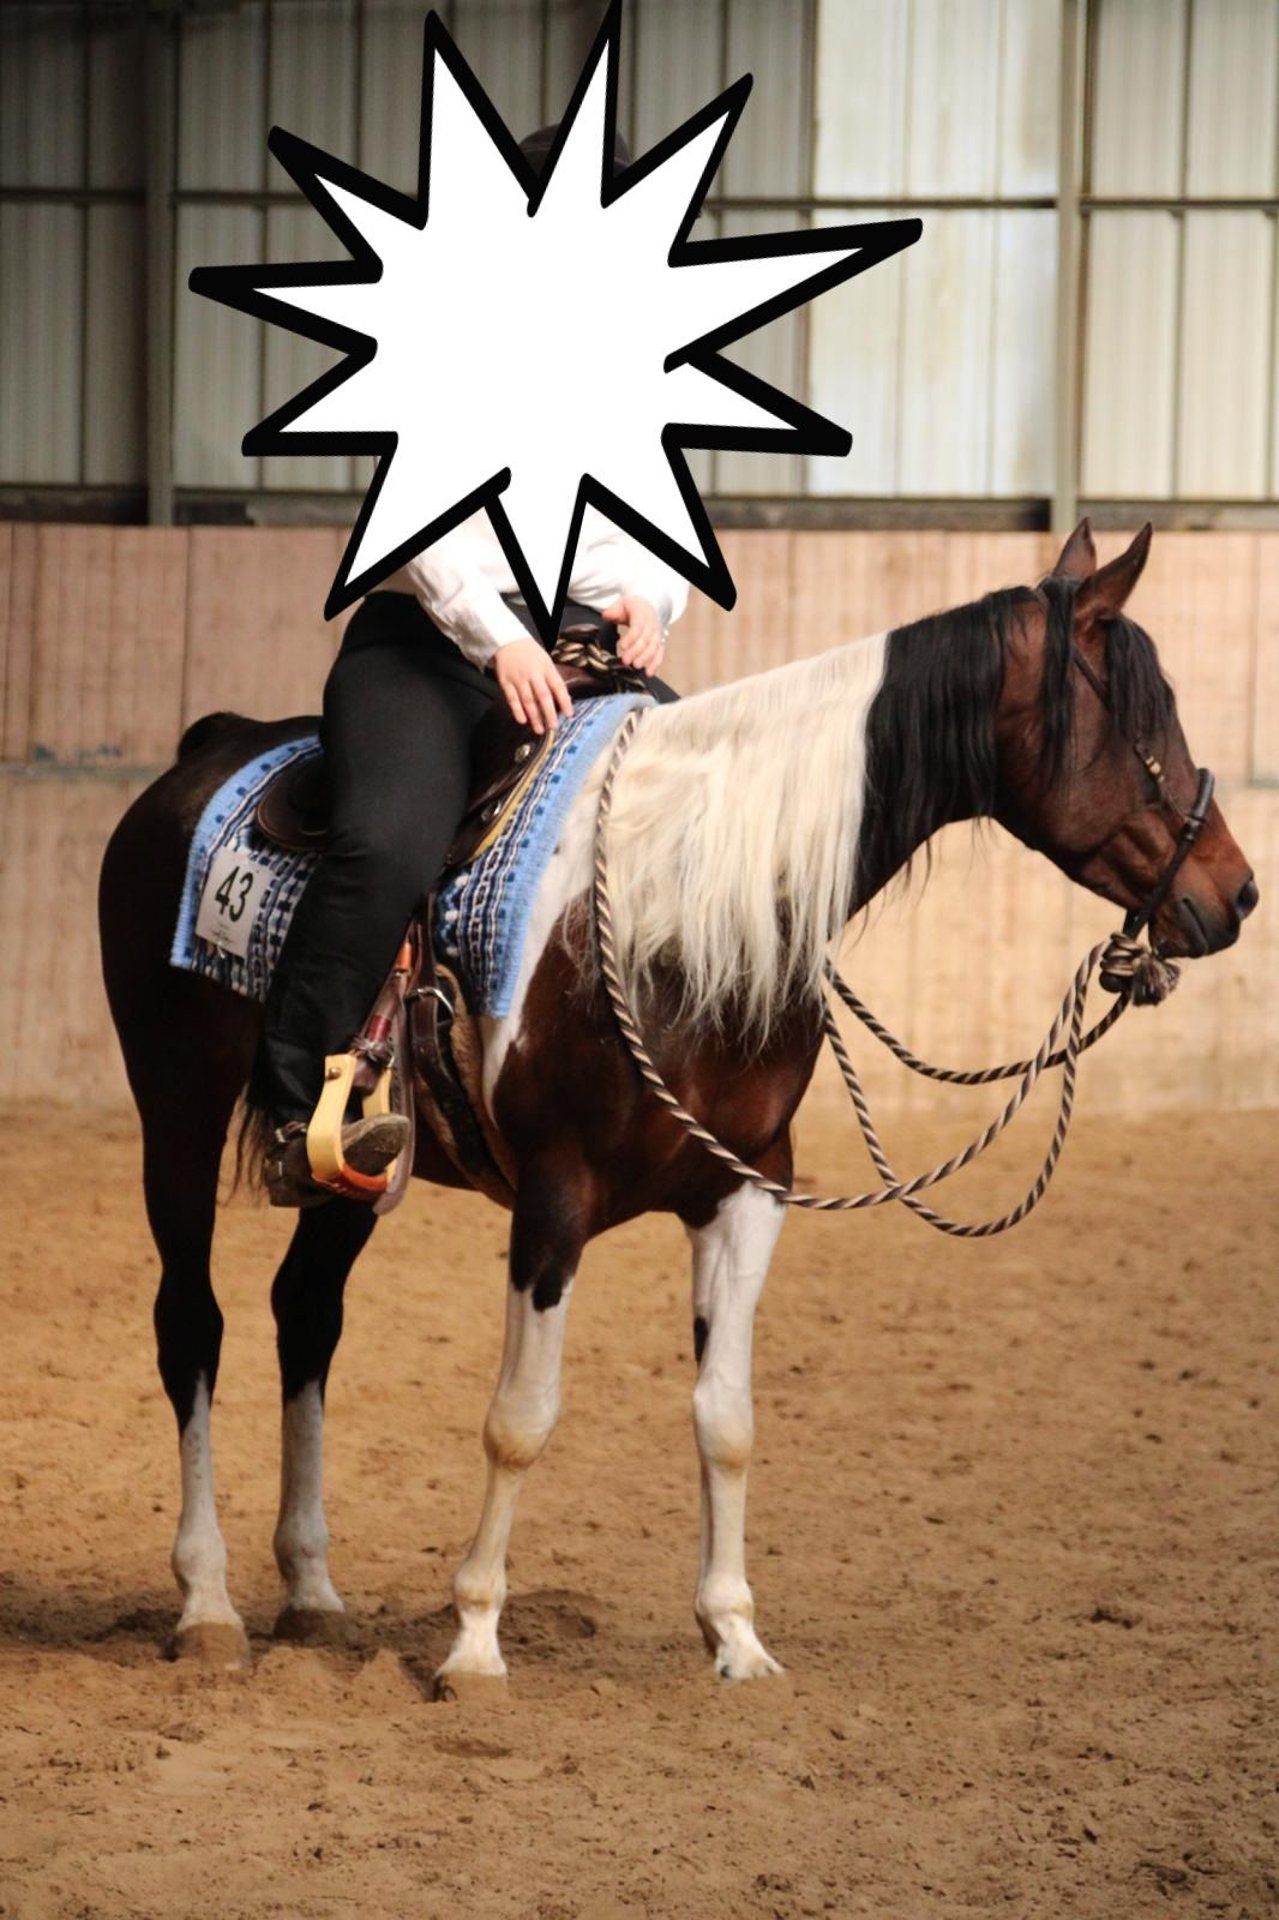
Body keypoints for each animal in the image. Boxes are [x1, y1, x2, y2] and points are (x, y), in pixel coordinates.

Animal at [98, 522, 1256, 1680]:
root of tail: (206, 749)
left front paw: (735, 1637)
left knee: (306, 1313)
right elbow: (520, 1416)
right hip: (176, 1118)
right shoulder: (553, 1200)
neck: (683, 907)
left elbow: (725, 1418)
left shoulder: (745, 1193)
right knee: (190, 1325)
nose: (1236, 892)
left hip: (361, 1169)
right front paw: (473, 1643)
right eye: (1141, 722)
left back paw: (311, 1593)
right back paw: (208, 1606)